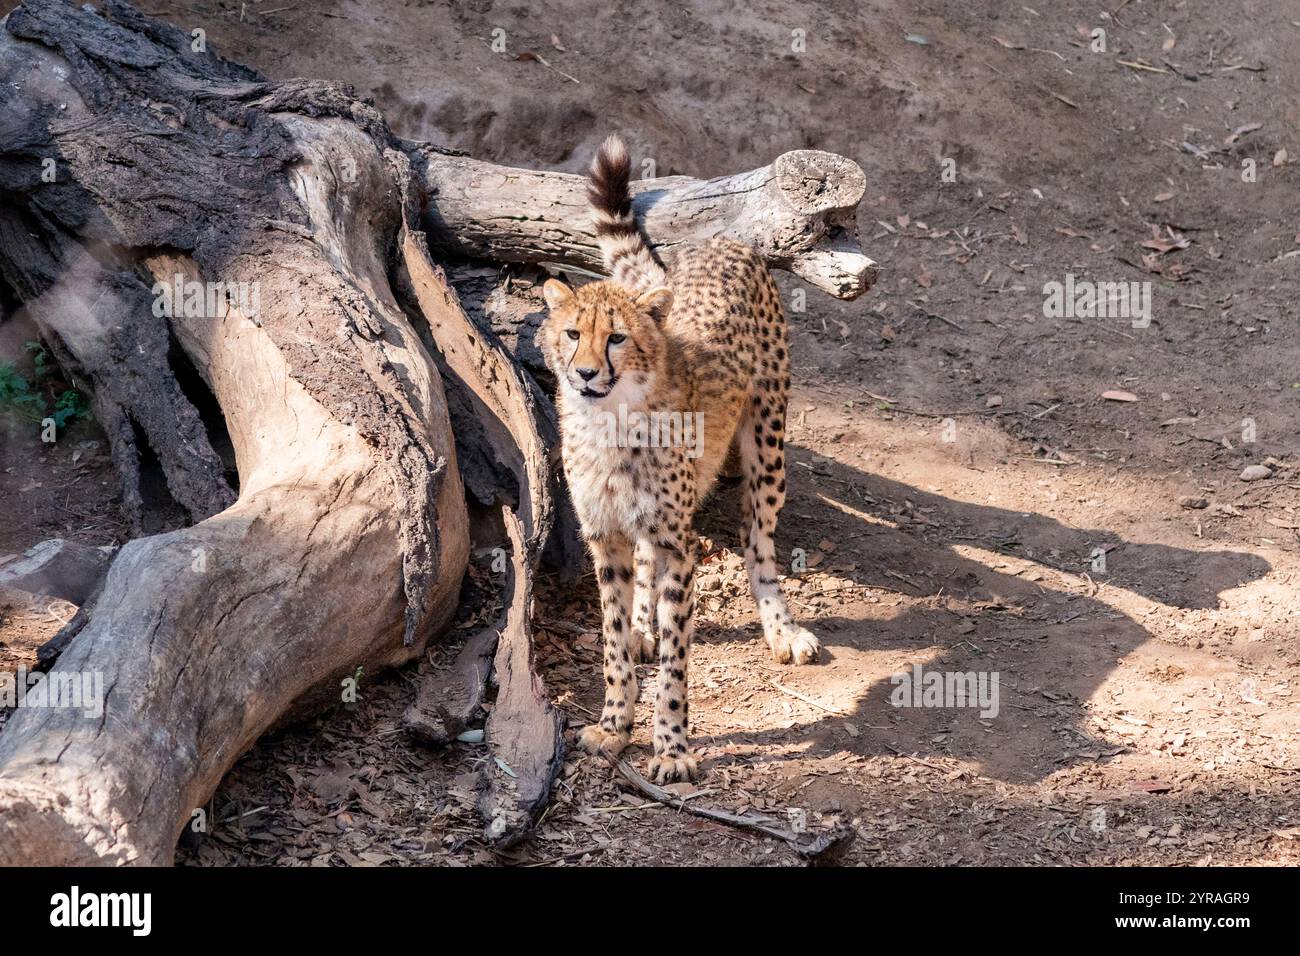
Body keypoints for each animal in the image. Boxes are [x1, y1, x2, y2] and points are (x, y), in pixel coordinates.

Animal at [538, 135, 820, 784]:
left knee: (757, 539)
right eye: (572, 333)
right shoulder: (606, 538)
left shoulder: (679, 543)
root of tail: (725, 241)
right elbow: (613, 643)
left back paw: (780, 626)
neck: (613, 422)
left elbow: (676, 662)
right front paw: (614, 724)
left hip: (768, 440)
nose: (585, 374)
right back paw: (645, 623)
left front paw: (671, 747)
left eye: (617, 338)